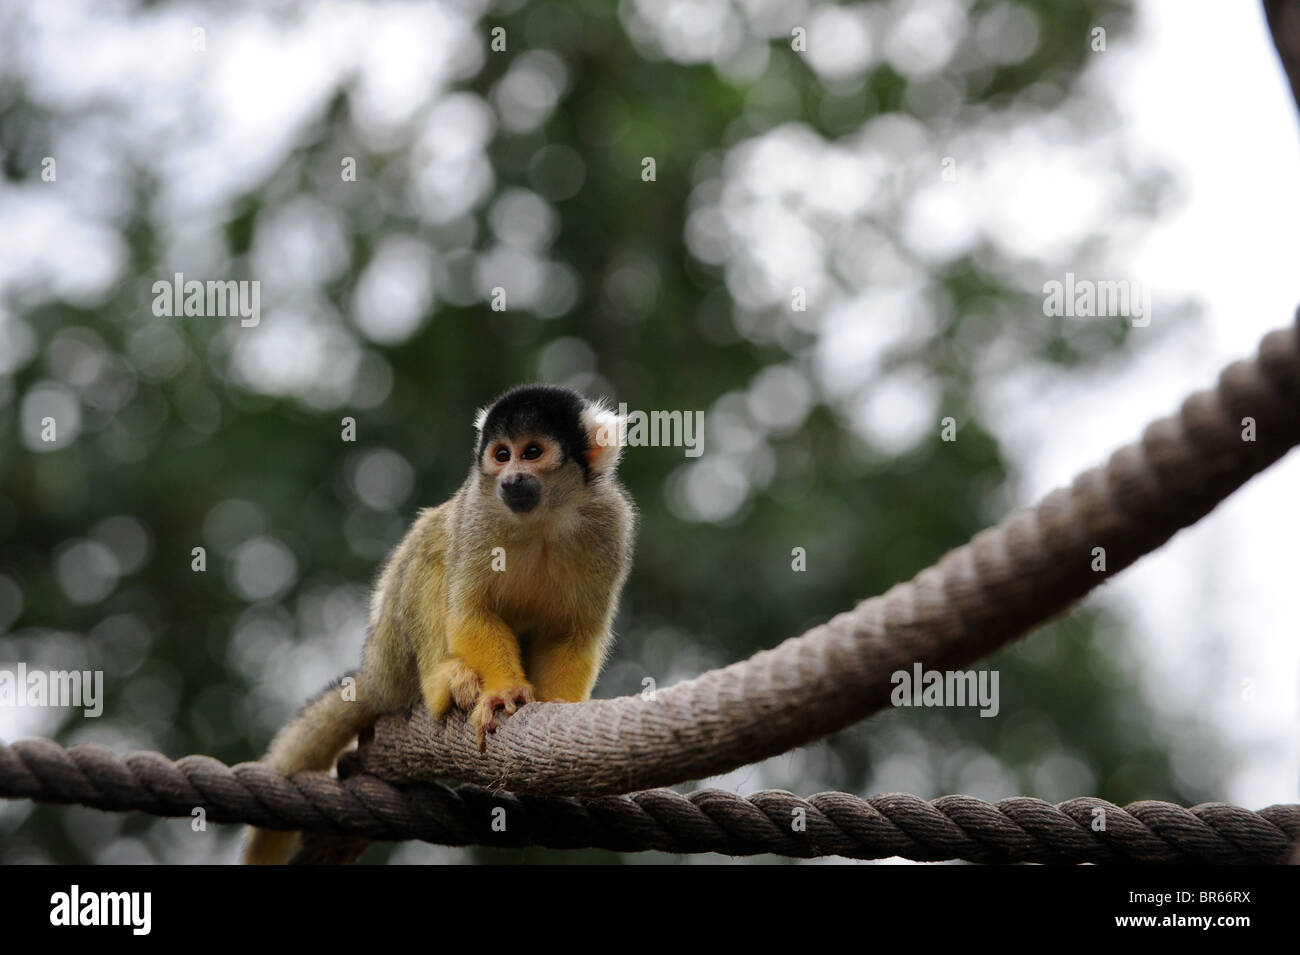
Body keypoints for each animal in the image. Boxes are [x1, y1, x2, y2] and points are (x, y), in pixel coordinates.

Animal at [242, 383, 636, 864]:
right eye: (502, 455)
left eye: (532, 452)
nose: (510, 479)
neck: (545, 515)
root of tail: (376, 678)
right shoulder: (478, 510)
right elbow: (469, 609)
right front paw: (503, 692)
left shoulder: (610, 524)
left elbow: (574, 632)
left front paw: (557, 705)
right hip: (391, 647)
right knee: (432, 544)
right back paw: (443, 682)